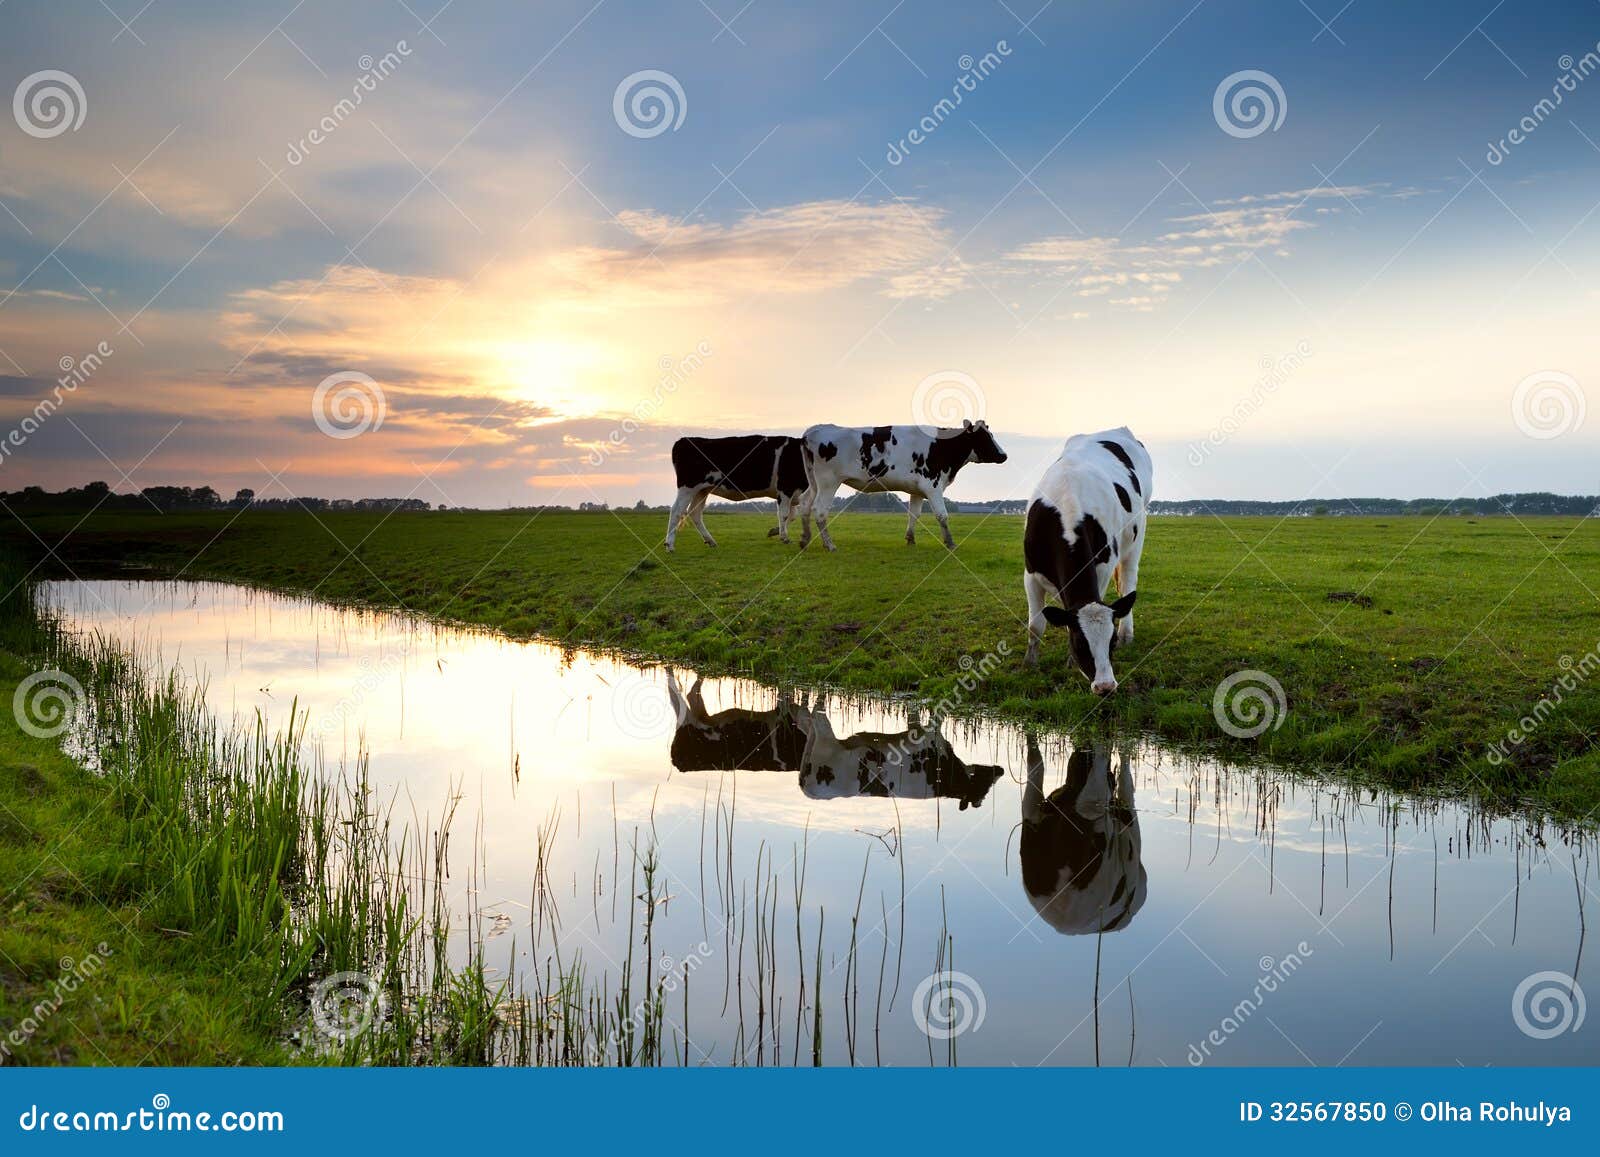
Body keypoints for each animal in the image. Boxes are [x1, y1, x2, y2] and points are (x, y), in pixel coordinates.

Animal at [665, 434, 809, 551]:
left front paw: (774, 531)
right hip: (687, 487)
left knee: (695, 513)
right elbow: (784, 514)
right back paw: (670, 545)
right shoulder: (786, 489)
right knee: (677, 510)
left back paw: (710, 541)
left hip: (702, 490)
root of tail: (684, 440)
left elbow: (792, 515)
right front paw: (784, 537)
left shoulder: (793, 494)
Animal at [798, 420, 1008, 551]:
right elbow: (942, 515)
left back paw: (805, 540)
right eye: (985, 437)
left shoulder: (917, 490)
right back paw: (829, 545)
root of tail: (813, 431)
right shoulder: (933, 485)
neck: (942, 446)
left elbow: (914, 514)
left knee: (805, 504)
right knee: (820, 510)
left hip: (814, 482)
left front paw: (910, 539)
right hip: (828, 482)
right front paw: (950, 543)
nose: (1004, 455)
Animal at [1022, 426, 1151, 694]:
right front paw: (1030, 663)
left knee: (1128, 581)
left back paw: (1128, 632)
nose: (1105, 686)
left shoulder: (1102, 568)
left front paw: (1070, 663)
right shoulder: (1031, 575)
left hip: (1137, 535)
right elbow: (1035, 625)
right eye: (1080, 642)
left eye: (1111, 642)